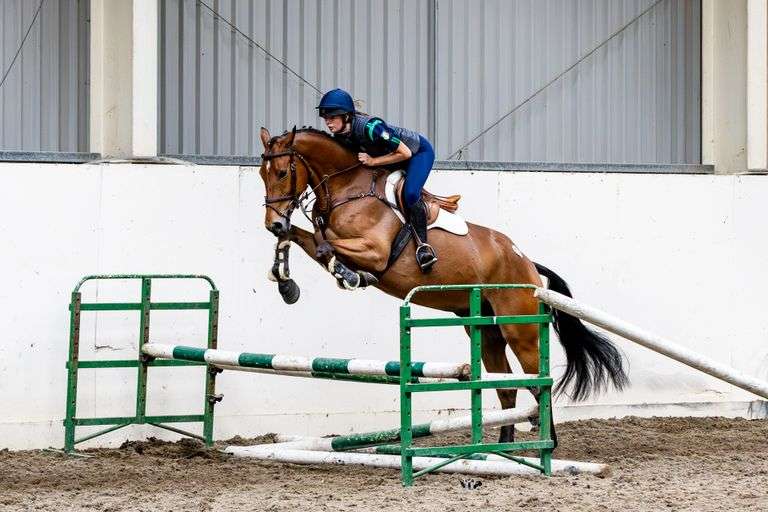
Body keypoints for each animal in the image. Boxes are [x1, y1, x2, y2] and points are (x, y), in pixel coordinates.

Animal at [258, 126, 628, 444]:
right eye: (262, 174)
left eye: (282, 172)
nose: (272, 223)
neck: (347, 187)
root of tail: (527, 265)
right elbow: (303, 238)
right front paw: (285, 280)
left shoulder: (375, 251)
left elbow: (326, 246)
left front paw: (349, 275)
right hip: (486, 332)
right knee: (507, 387)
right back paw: (502, 449)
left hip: (519, 331)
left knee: (538, 385)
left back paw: (546, 443)